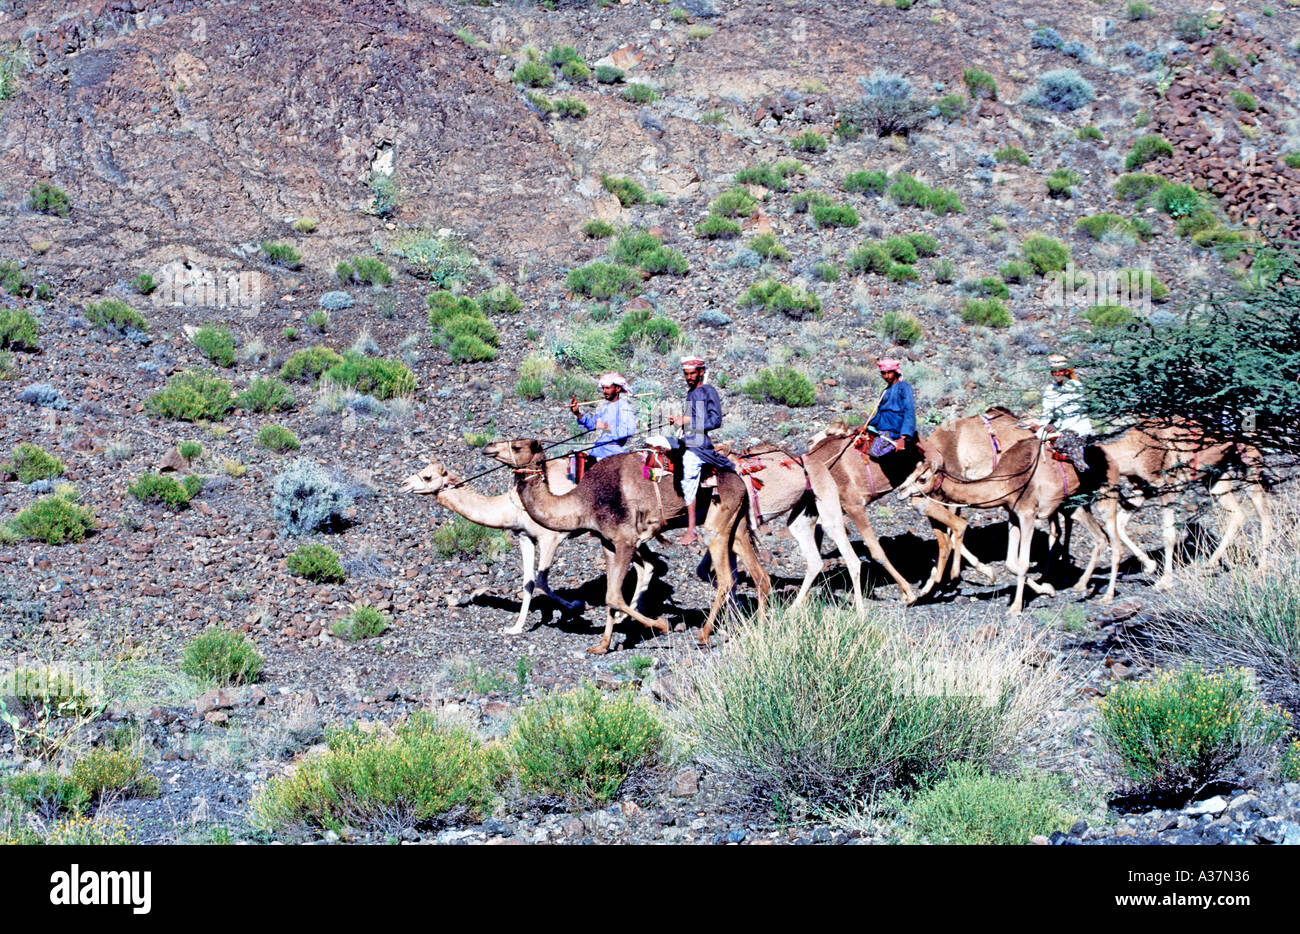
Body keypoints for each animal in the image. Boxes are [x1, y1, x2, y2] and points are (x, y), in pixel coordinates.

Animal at [399, 456, 584, 634]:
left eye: (427, 477)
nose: (404, 484)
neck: (514, 508)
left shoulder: (550, 537)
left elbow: (541, 581)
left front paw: (576, 605)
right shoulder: (526, 537)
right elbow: (529, 582)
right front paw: (515, 628)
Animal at [482, 439, 771, 654]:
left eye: (517, 446)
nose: (488, 447)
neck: (585, 501)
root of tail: (739, 479)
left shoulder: (626, 540)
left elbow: (613, 595)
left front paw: (660, 625)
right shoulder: (608, 543)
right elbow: (611, 595)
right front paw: (601, 646)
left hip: (717, 525)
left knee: (726, 579)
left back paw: (703, 634)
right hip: (737, 526)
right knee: (759, 575)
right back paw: (760, 627)